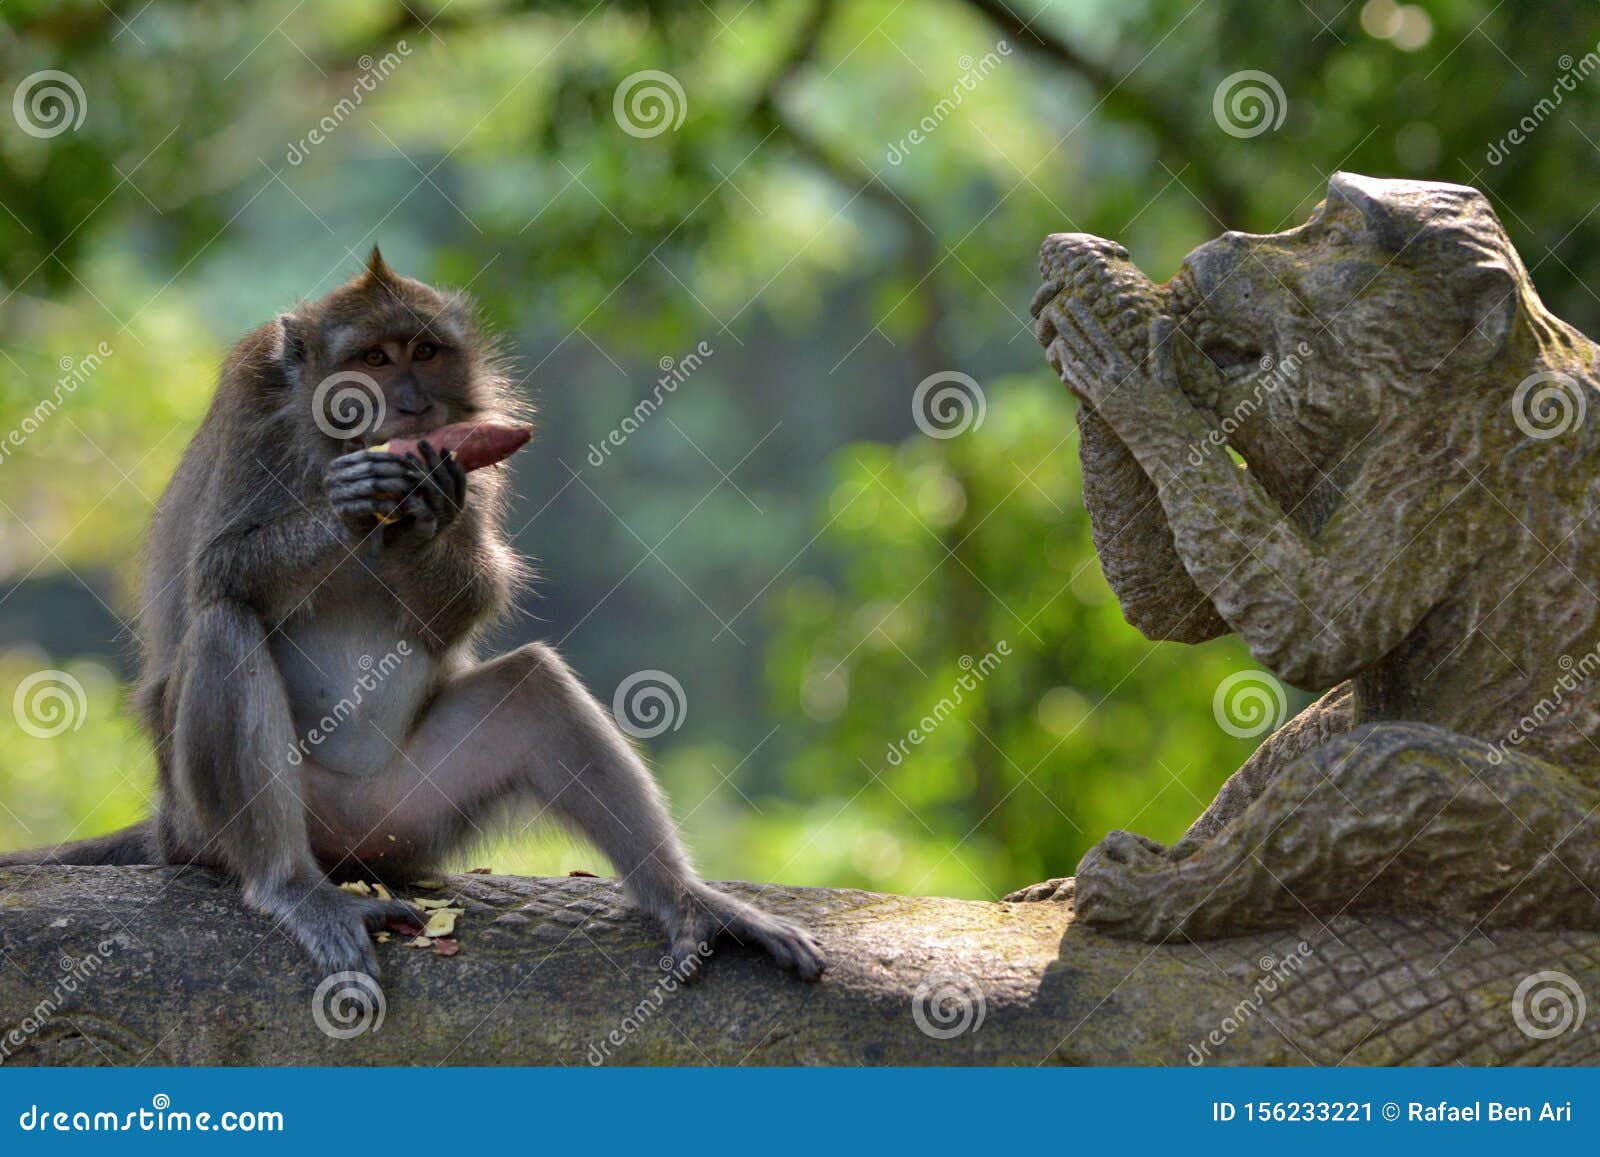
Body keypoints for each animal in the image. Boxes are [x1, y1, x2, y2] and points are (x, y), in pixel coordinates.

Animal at [0, 250, 826, 983]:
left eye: (425, 352)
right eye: (372, 357)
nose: (412, 404)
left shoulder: (477, 431)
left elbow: (462, 606)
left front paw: (425, 511)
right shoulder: (251, 403)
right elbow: (215, 569)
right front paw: (354, 500)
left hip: (408, 815)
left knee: (535, 687)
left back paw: (686, 898)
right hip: (208, 820)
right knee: (224, 626)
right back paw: (291, 887)